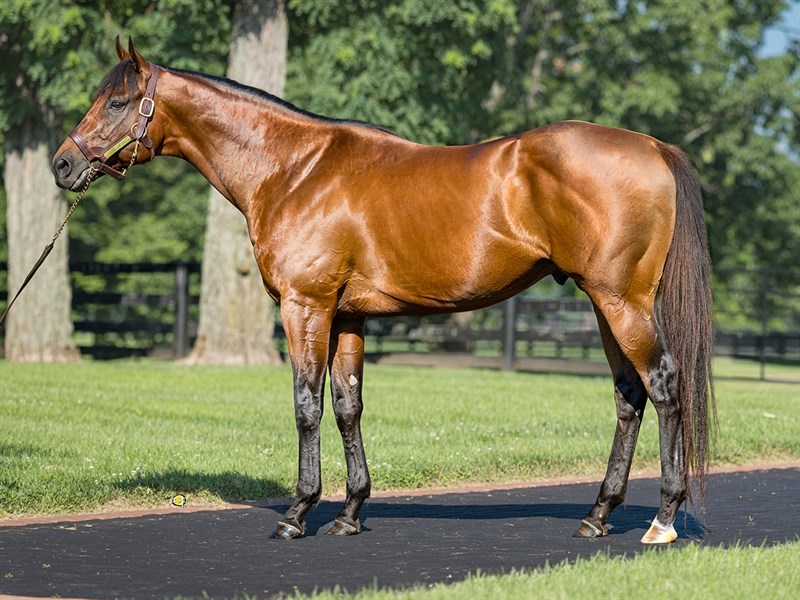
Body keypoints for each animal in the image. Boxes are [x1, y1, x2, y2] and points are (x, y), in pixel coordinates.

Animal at [52, 39, 715, 544]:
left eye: (117, 101)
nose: (62, 165)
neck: (295, 169)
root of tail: (652, 146)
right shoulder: (348, 317)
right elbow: (348, 406)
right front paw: (349, 513)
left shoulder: (306, 307)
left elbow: (307, 405)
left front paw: (298, 513)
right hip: (604, 305)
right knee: (629, 396)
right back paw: (597, 516)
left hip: (621, 302)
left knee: (663, 385)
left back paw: (662, 519)